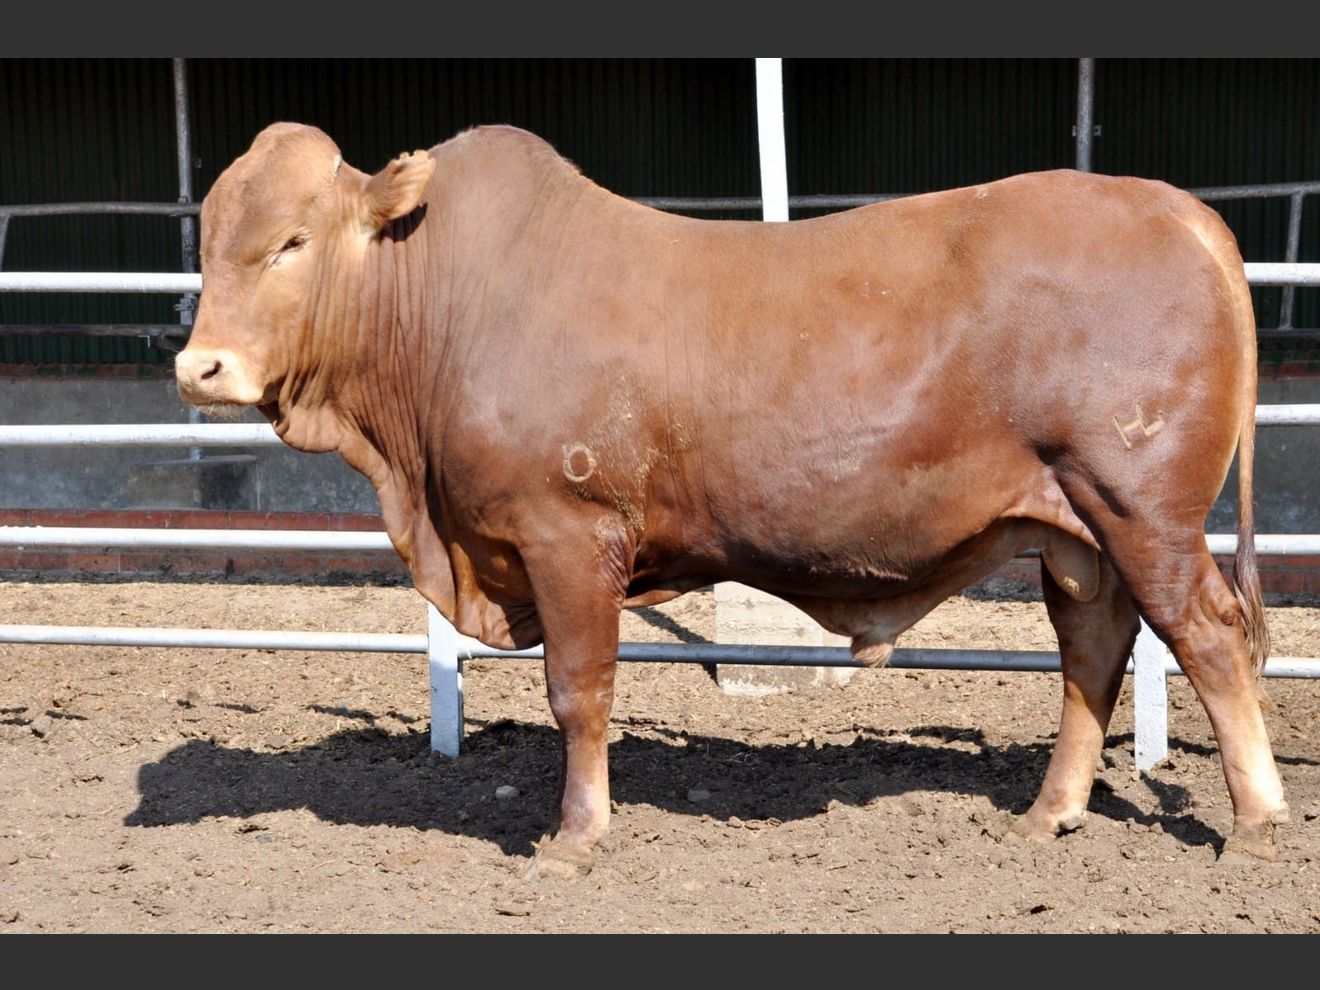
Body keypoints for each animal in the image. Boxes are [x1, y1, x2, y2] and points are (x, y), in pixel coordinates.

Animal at [175, 122, 1289, 877]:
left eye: (292, 242)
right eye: (210, 238)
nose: (200, 367)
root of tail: (1179, 209)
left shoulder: (569, 534)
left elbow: (578, 690)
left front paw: (574, 837)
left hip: (1143, 511)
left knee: (1208, 637)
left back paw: (1256, 823)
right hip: (1076, 529)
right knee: (1093, 650)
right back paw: (1050, 812)